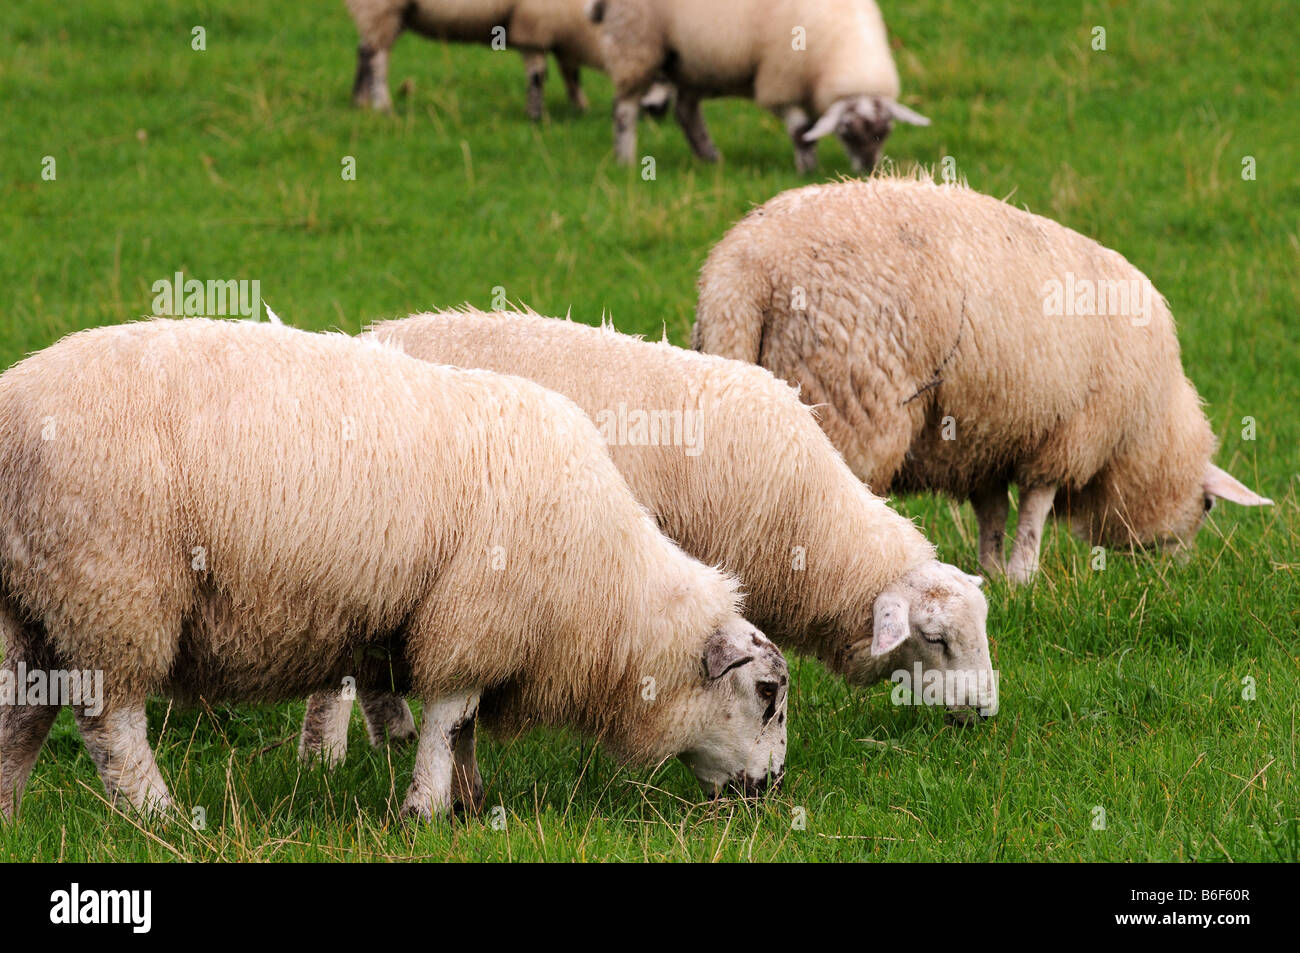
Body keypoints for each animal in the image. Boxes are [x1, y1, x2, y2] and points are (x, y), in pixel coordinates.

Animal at [0, 318, 788, 822]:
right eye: (768, 694)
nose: (771, 790)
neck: (610, 587)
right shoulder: (475, 616)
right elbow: (448, 719)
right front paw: (425, 810)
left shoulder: (477, 628)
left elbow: (462, 725)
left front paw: (467, 802)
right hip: (112, 585)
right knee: (111, 725)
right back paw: (160, 817)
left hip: (30, 601)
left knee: (22, 714)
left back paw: (10, 810)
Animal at [300, 308, 993, 767]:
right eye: (935, 639)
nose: (986, 713)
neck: (810, 521)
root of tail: (368, 336)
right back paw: (326, 759)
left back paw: (391, 736)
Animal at [346, 0, 672, 120]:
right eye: (659, 70)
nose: (657, 112)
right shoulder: (533, 25)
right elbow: (537, 73)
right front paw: (536, 115)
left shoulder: (562, 36)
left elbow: (571, 74)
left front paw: (580, 106)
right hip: (382, 7)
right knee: (377, 57)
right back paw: (383, 105)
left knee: (365, 50)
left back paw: (360, 101)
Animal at [586, 0, 929, 172]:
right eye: (846, 131)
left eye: (887, 130)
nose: (869, 169)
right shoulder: (780, 81)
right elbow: (801, 131)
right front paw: (808, 170)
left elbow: (810, 129)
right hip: (636, 40)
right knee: (624, 108)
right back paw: (626, 160)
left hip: (692, 58)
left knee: (686, 111)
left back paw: (710, 159)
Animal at [692, 174, 1273, 584]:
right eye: (1208, 505)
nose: (1177, 570)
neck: (1147, 426)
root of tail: (742, 276)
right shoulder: (1069, 433)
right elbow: (1034, 508)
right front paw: (1024, 575)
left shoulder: (982, 441)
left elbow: (992, 512)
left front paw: (992, 575)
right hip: (845, 399)